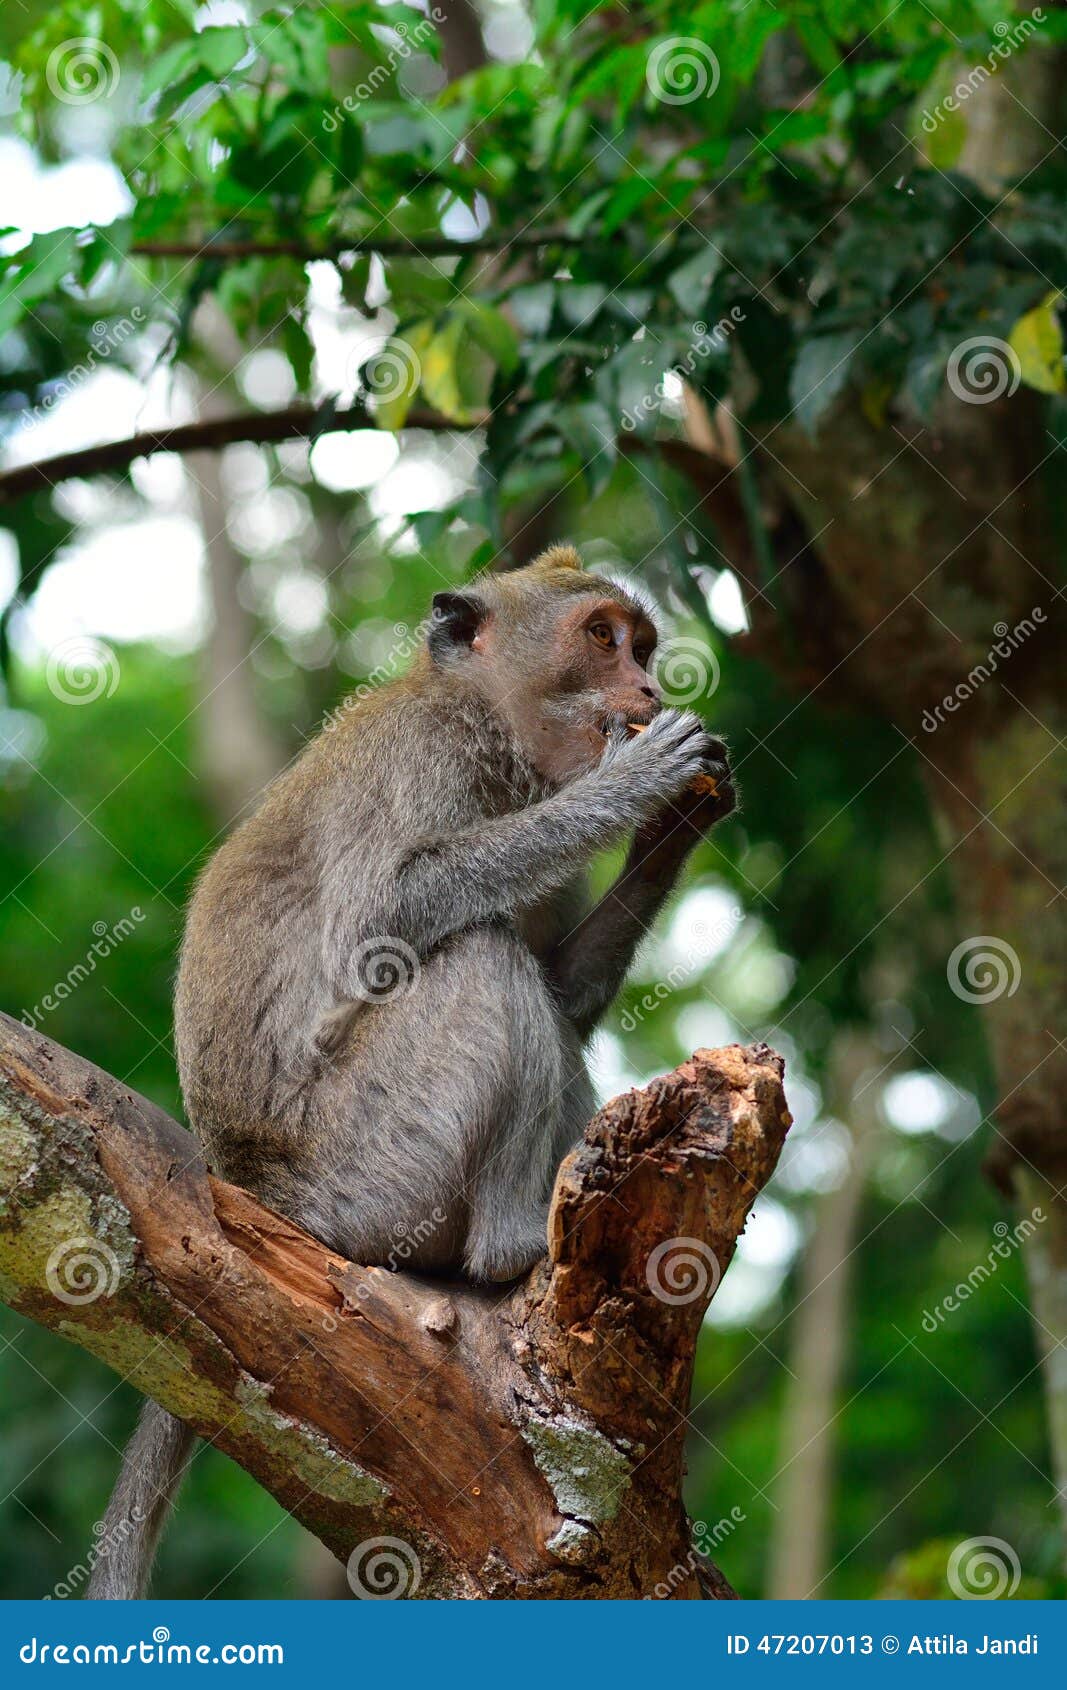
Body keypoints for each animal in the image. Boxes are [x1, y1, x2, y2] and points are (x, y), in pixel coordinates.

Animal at [87, 543, 734, 1598]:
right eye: (603, 638)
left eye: (640, 646)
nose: (645, 687)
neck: (478, 718)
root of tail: (248, 1186)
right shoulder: (421, 757)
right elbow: (380, 923)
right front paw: (634, 782)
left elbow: (565, 996)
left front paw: (670, 828)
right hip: (374, 1174)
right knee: (478, 955)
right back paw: (512, 1248)